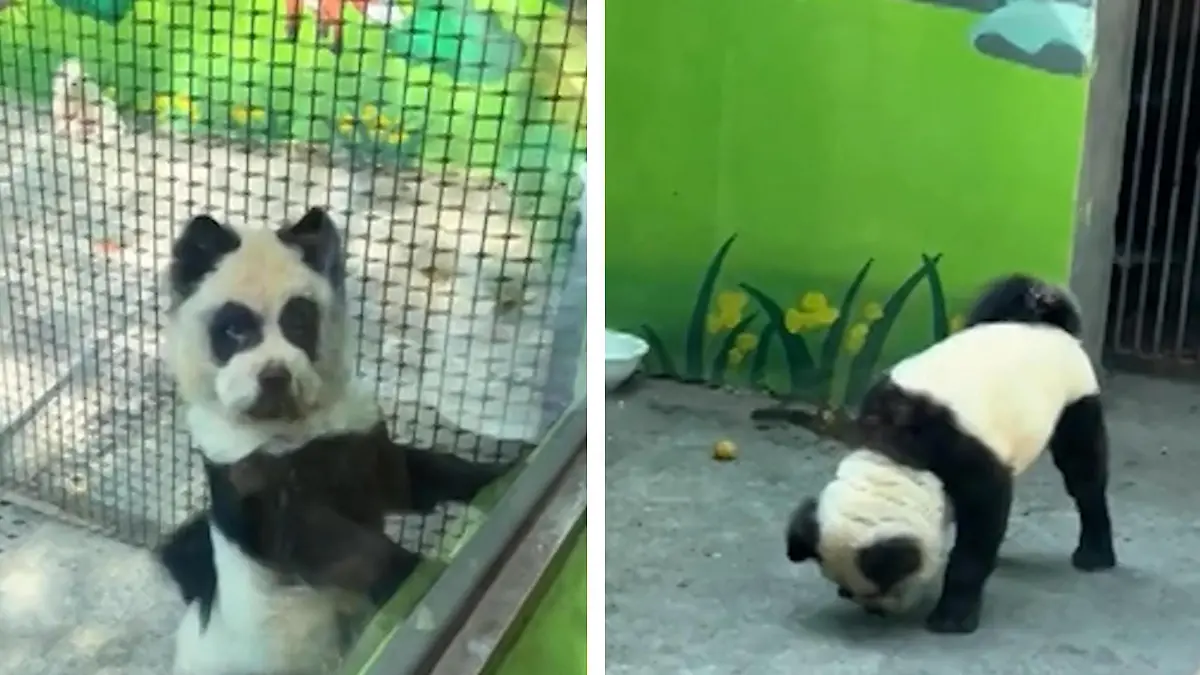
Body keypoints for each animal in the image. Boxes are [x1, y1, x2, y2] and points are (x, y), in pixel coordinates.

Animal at [157, 207, 512, 674]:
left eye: (298, 322)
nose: (275, 376)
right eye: (234, 330)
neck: (290, 426)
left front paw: (498, 474)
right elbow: (317, 540)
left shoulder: (354, 435)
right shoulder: (240, 467)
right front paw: (416, 571)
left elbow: (409, 480)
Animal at [785, 273, 1116, 635]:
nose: (875, 610)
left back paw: (1095, 554)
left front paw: (952, 616)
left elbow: (982, 517)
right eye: (845, 589)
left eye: (881, 587)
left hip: (1074, 398)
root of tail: (1050, 324)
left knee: (1083, 470)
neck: (896, 455)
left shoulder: (963, 451)